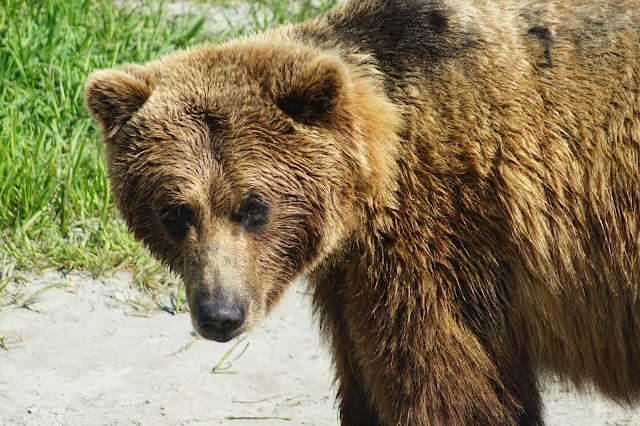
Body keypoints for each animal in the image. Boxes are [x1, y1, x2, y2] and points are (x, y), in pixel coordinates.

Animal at [85, 0, 640, 424]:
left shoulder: (442, 245)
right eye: (176, 211)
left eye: (253, 206)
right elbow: (364, 383)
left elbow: (450, 389)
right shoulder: (352, 279)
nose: (220, 314)